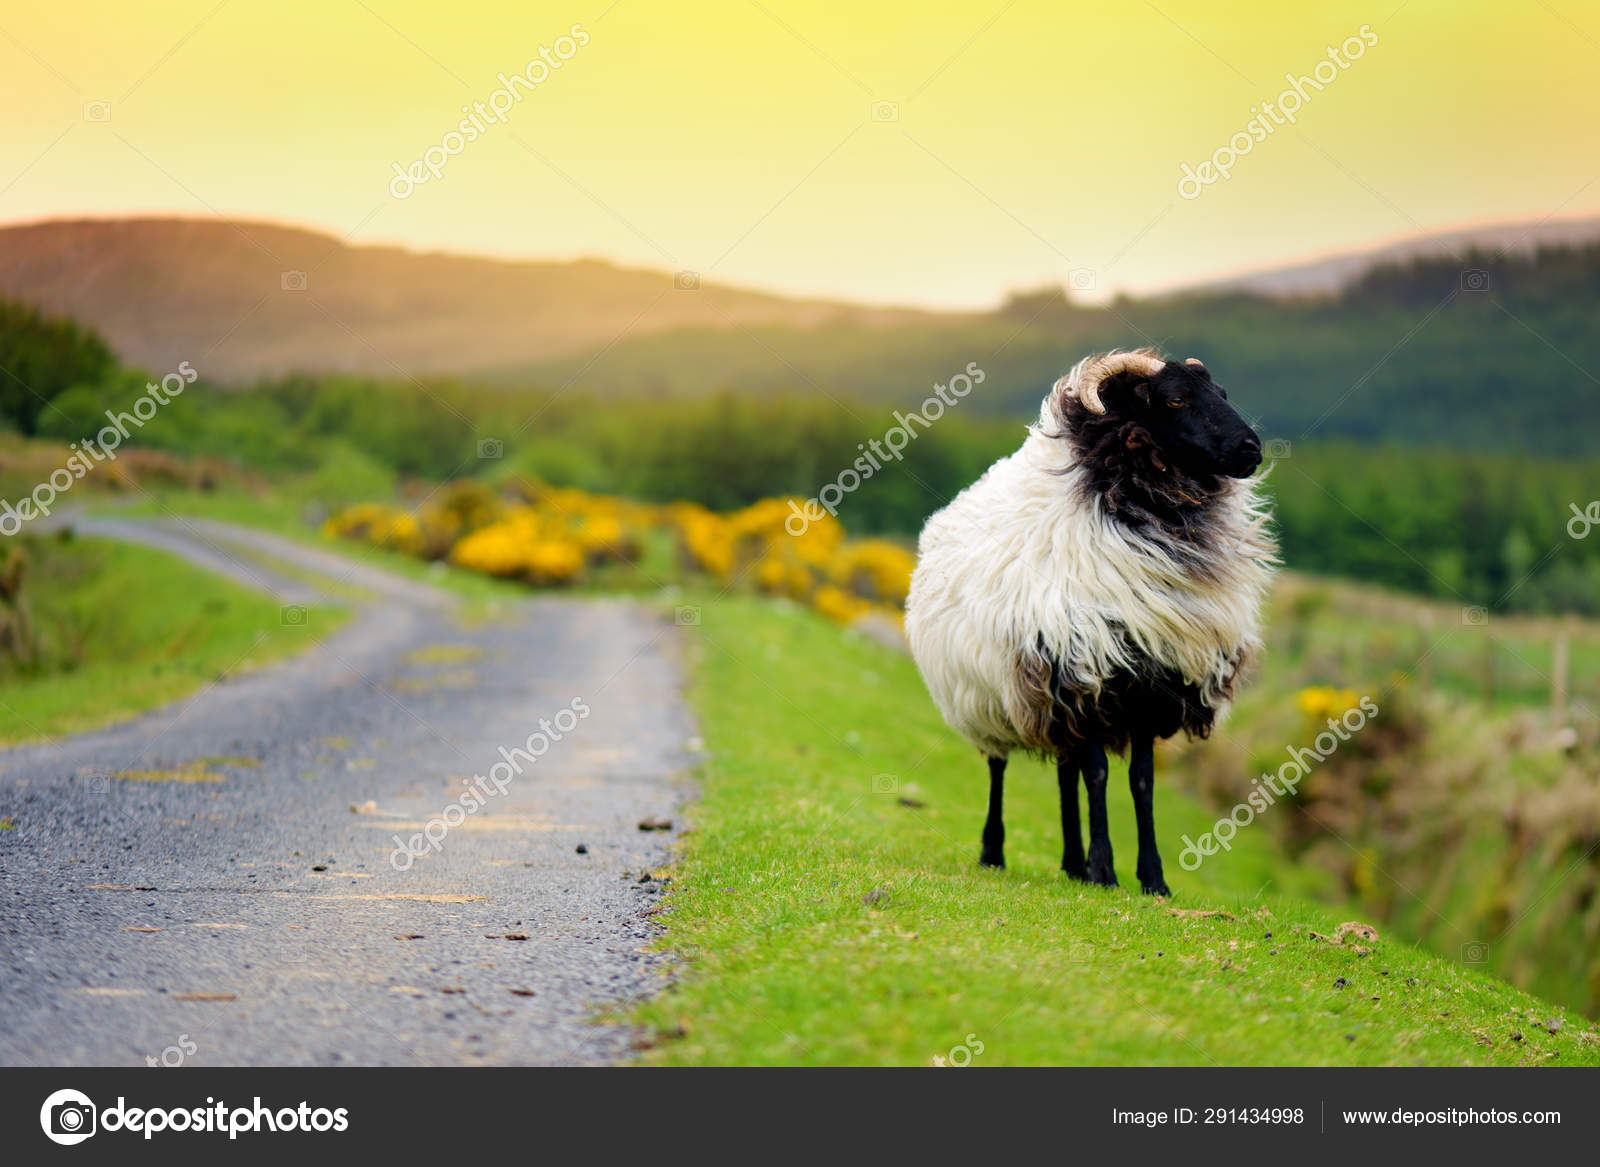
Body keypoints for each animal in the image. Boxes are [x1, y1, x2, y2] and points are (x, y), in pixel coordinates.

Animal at [904, 349, 1276, 894]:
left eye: (1223, 394)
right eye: (1175, 399)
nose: (1251, 448)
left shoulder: (1149, 683)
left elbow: (1140, 782)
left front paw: (1151, 878)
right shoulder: (1087, 675)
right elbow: (1099, 775)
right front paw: (1104, 870)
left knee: (1065, 773)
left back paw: (1071, 863)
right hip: (988, 693)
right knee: (1000, 767)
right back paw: (995, 852)